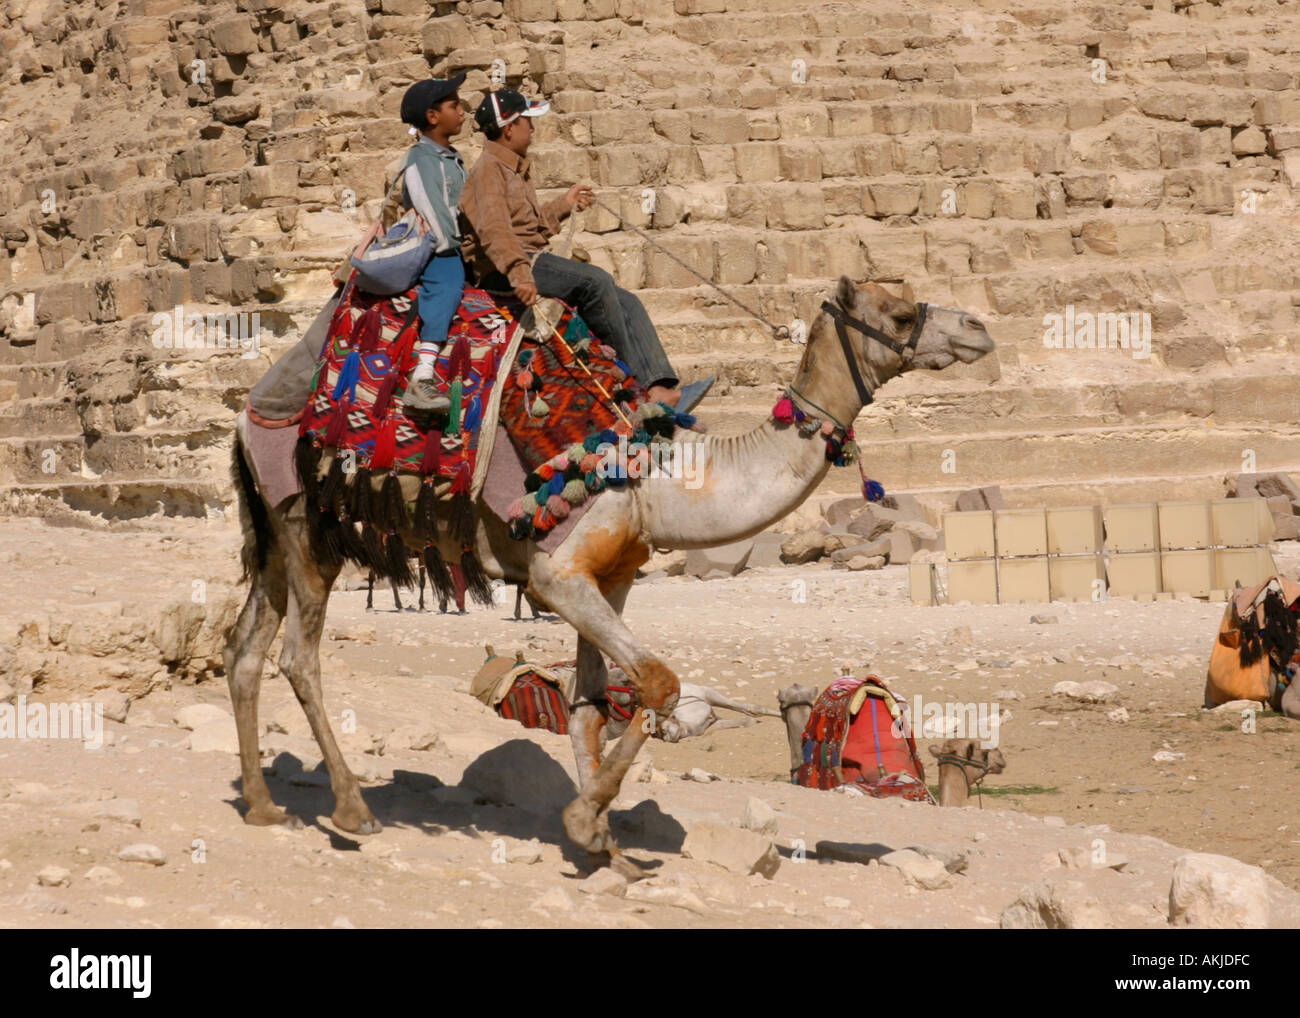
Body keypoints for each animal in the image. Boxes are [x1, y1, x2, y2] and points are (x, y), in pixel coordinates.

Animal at [223, 275, 994, 874]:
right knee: (298, 656)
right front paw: (585, 824)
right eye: (900, 314)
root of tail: (248, 413)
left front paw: (604, 848)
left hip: (279, 536)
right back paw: (352, 809)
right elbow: (658, 683)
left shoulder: (612, 577)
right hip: (303, 518)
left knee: (244, 650)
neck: (657, 479)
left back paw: (262, 806)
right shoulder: (555, 573)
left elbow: (590, 705)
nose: (980, 328)